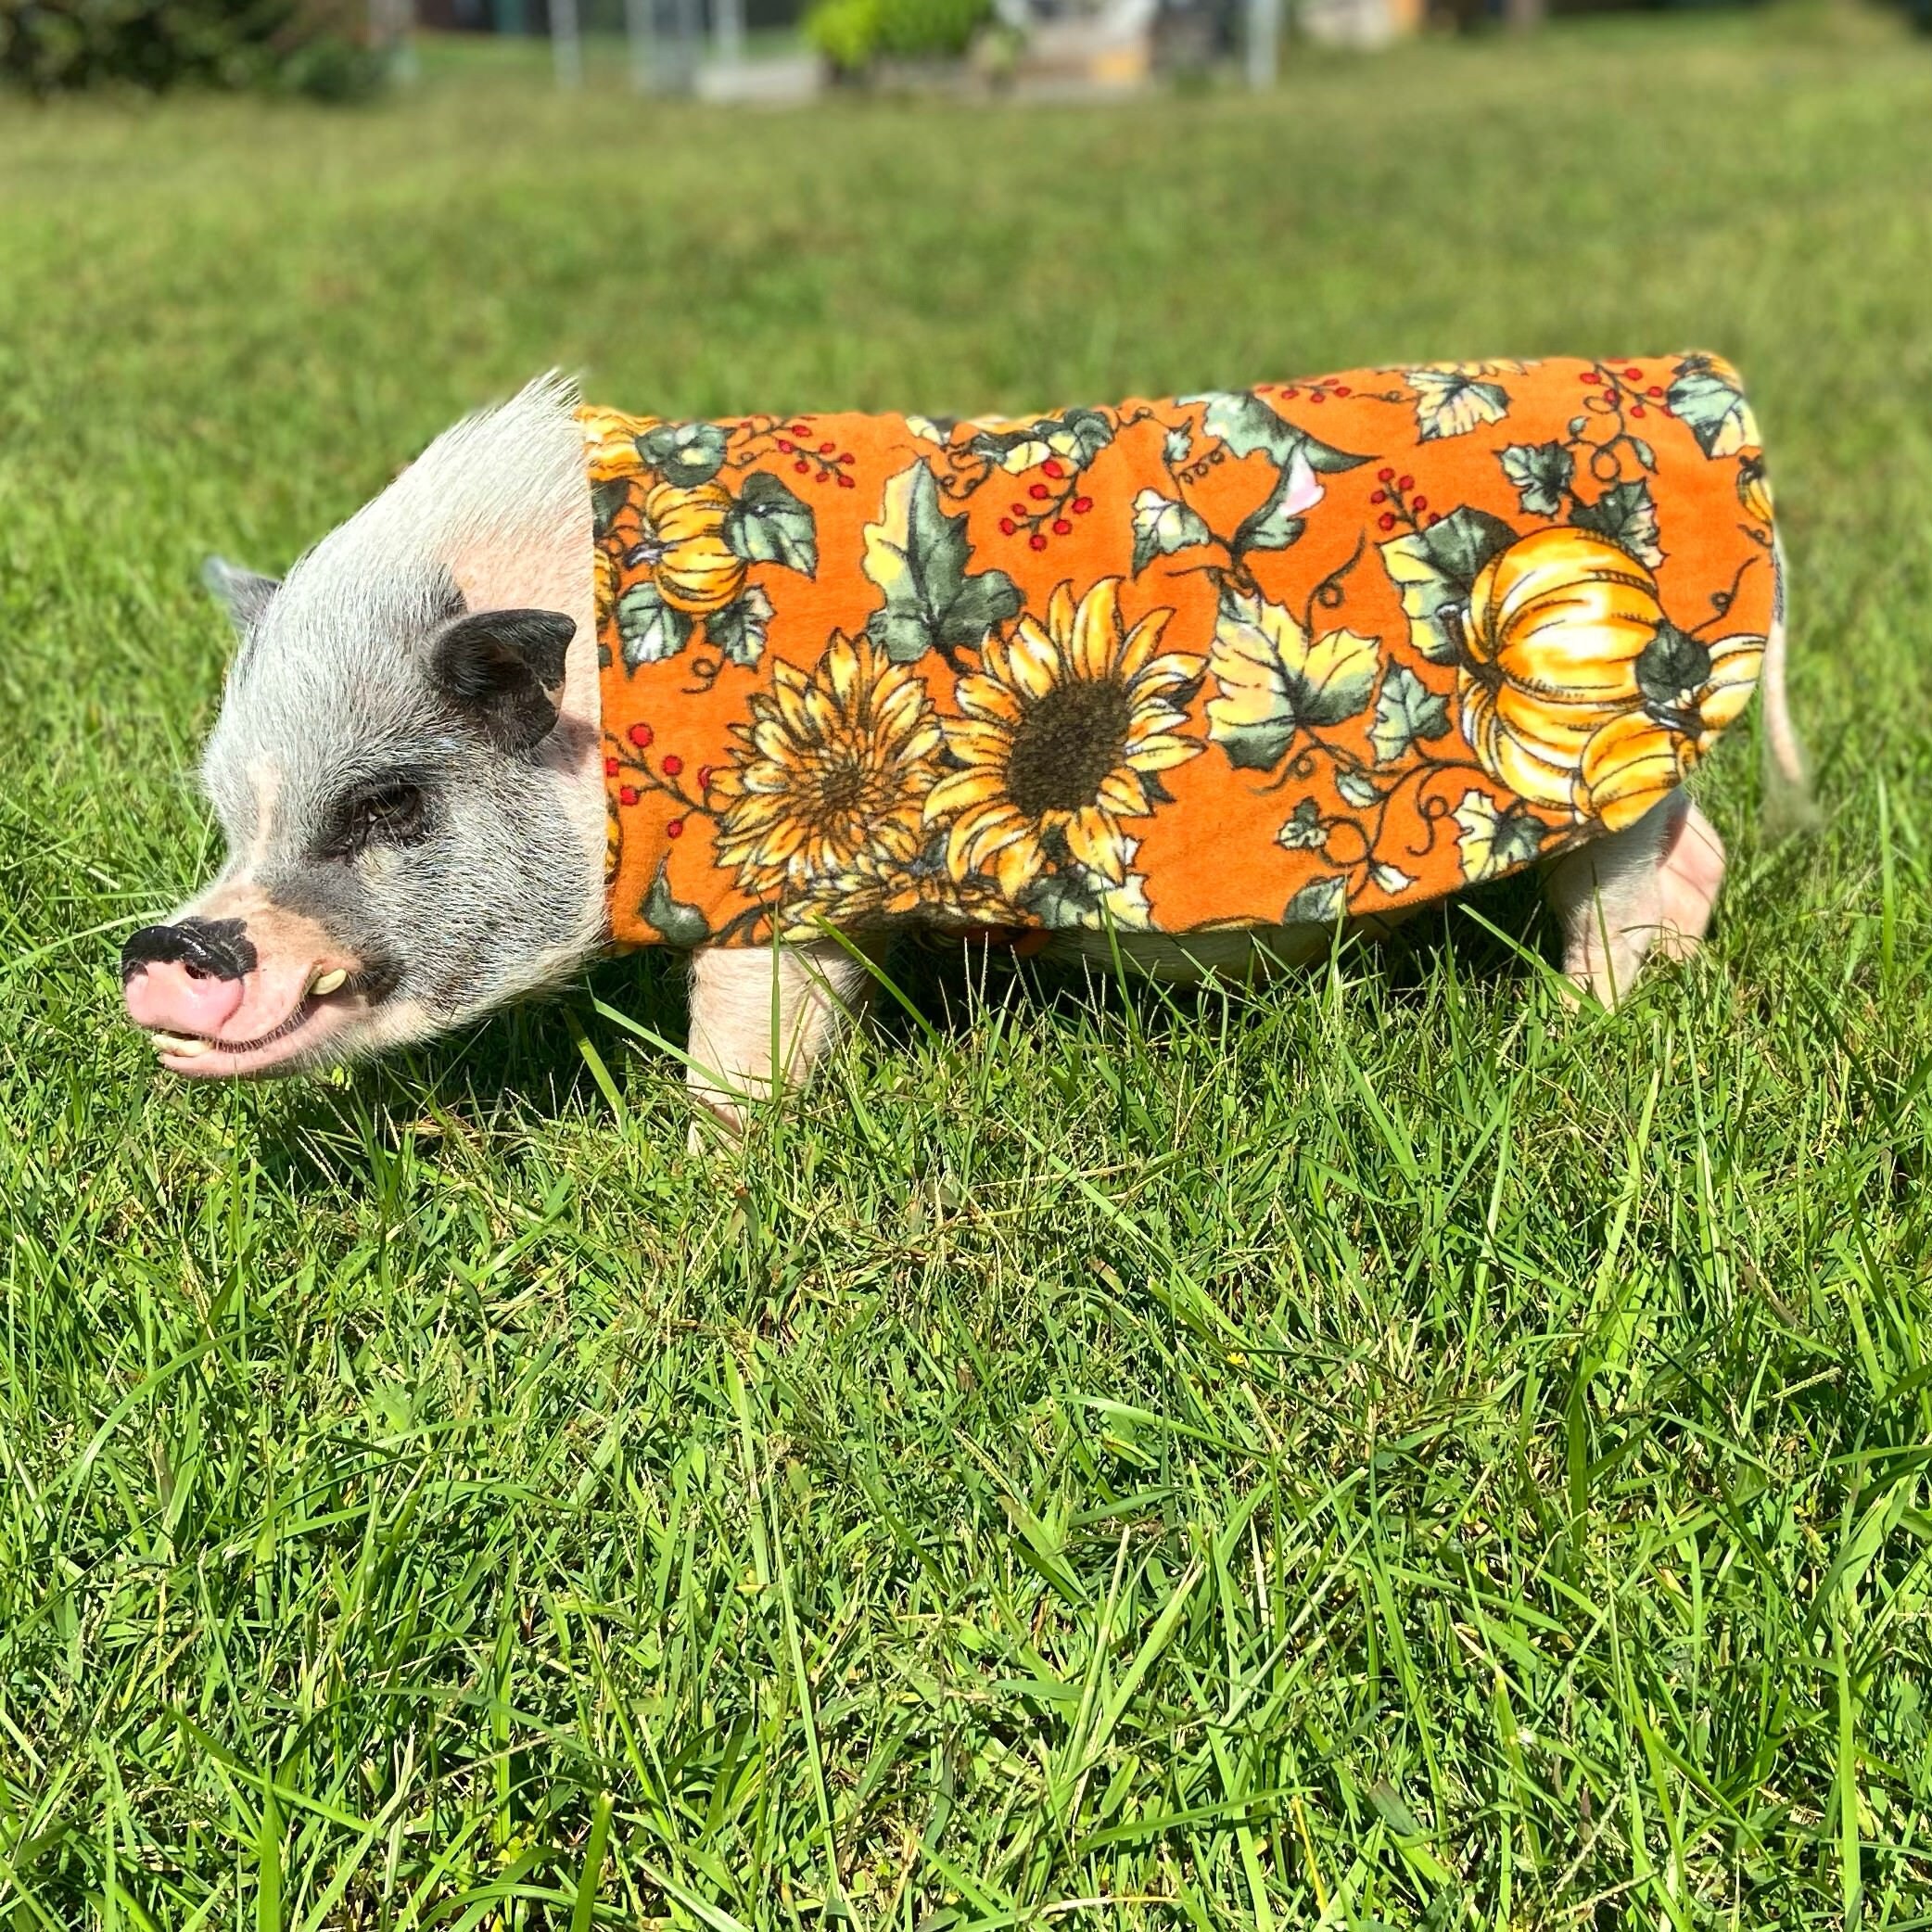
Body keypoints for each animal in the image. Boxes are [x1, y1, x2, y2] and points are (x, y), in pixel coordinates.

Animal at [121, 372, 1809, 1132]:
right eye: (229, 814)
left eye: (387, 802)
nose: (169, 943)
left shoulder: (778, 885)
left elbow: (754, 1033)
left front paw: (697, 1159)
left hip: (1608, 764)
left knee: (1644, 882)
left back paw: (1578, 1028)